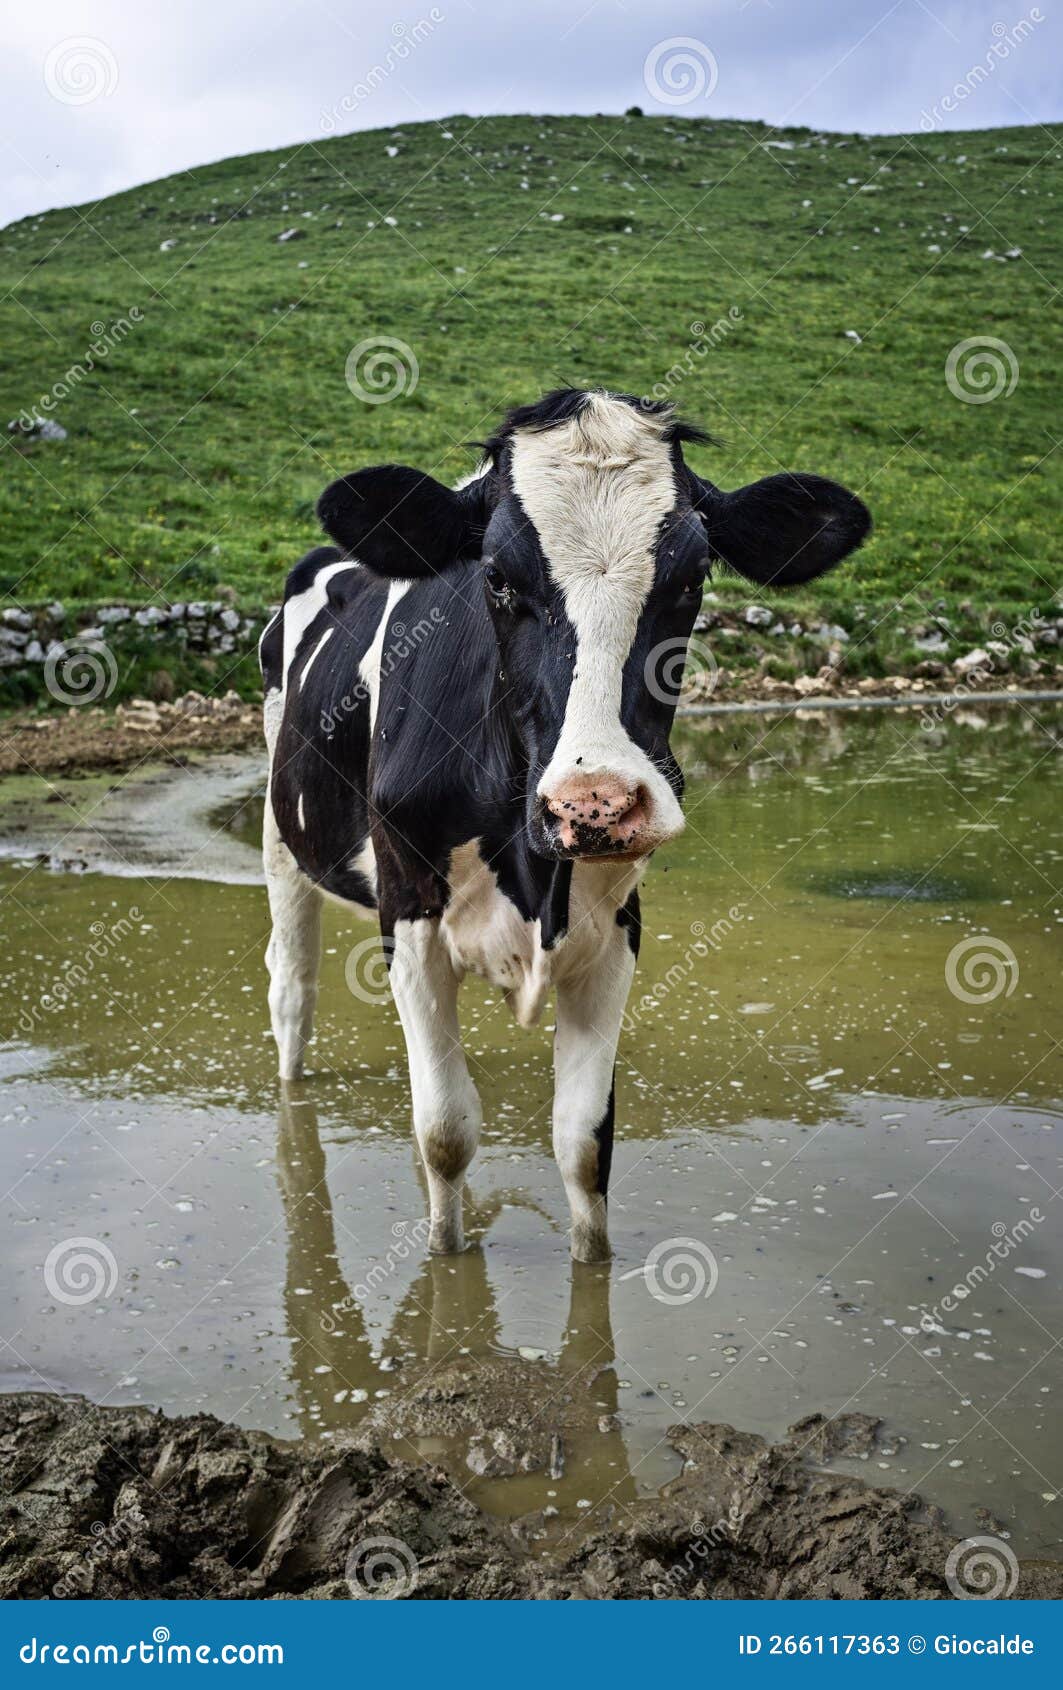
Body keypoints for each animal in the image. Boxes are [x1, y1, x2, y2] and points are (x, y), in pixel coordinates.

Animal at [260, 388, 870, 1263]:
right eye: (496, 577)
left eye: (691, 577)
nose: (596, 801)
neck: (526, 863)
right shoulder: (408, 909)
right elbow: (446, 1129)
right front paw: (445, 1258)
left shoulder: (616, 928)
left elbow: (583, 1143)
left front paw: (592, 1265)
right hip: (282, 837)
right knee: (292, 985)